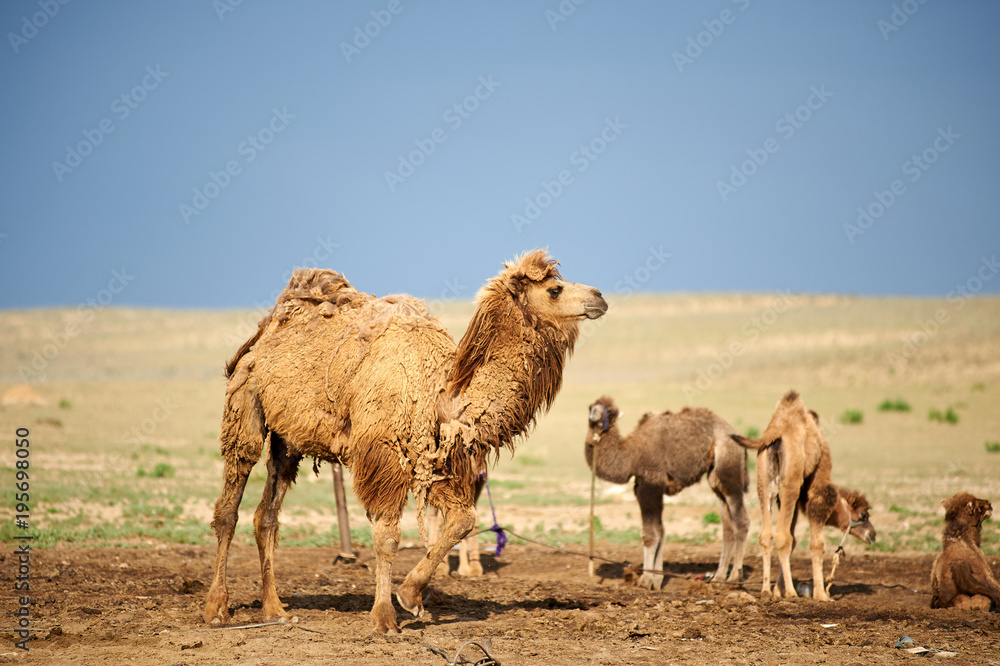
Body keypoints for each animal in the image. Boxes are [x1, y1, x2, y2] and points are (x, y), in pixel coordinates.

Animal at [203, 250, 607, 633]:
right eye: (554, 289)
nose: (600, 297)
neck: (441, 394)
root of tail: (265, 330)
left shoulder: (436, 460)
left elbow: (463, 520)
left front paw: (412, 596)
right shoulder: (383, 456)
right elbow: (387, 536)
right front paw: (385, 617)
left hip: (288, 440)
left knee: (266, 516)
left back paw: (276, 609)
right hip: (244, 407)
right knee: (229, 505)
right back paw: (217, 608)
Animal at [584, 396, 749, 590]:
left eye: (610, 412)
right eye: (590, 406)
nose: (594, 414)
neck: (631, 454)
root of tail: (734, 434)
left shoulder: (651, 485)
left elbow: (650, 534)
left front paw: (646, 581)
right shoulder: (642, 487)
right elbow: (661, 531)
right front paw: (656, 580)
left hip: (730, 467)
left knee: (741, 520)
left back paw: (734, 578)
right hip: (715, 477)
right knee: (727, 525)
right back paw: (719, 577)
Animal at [731, 390, 844, 601]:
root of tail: (776, 431)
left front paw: (777, 590)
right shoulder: (817, 477)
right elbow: (815, 541)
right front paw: (821, 595)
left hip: (764, 483)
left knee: (766, 535)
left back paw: (766, 590)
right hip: (790, 482)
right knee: (783, 536)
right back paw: (791, 592)